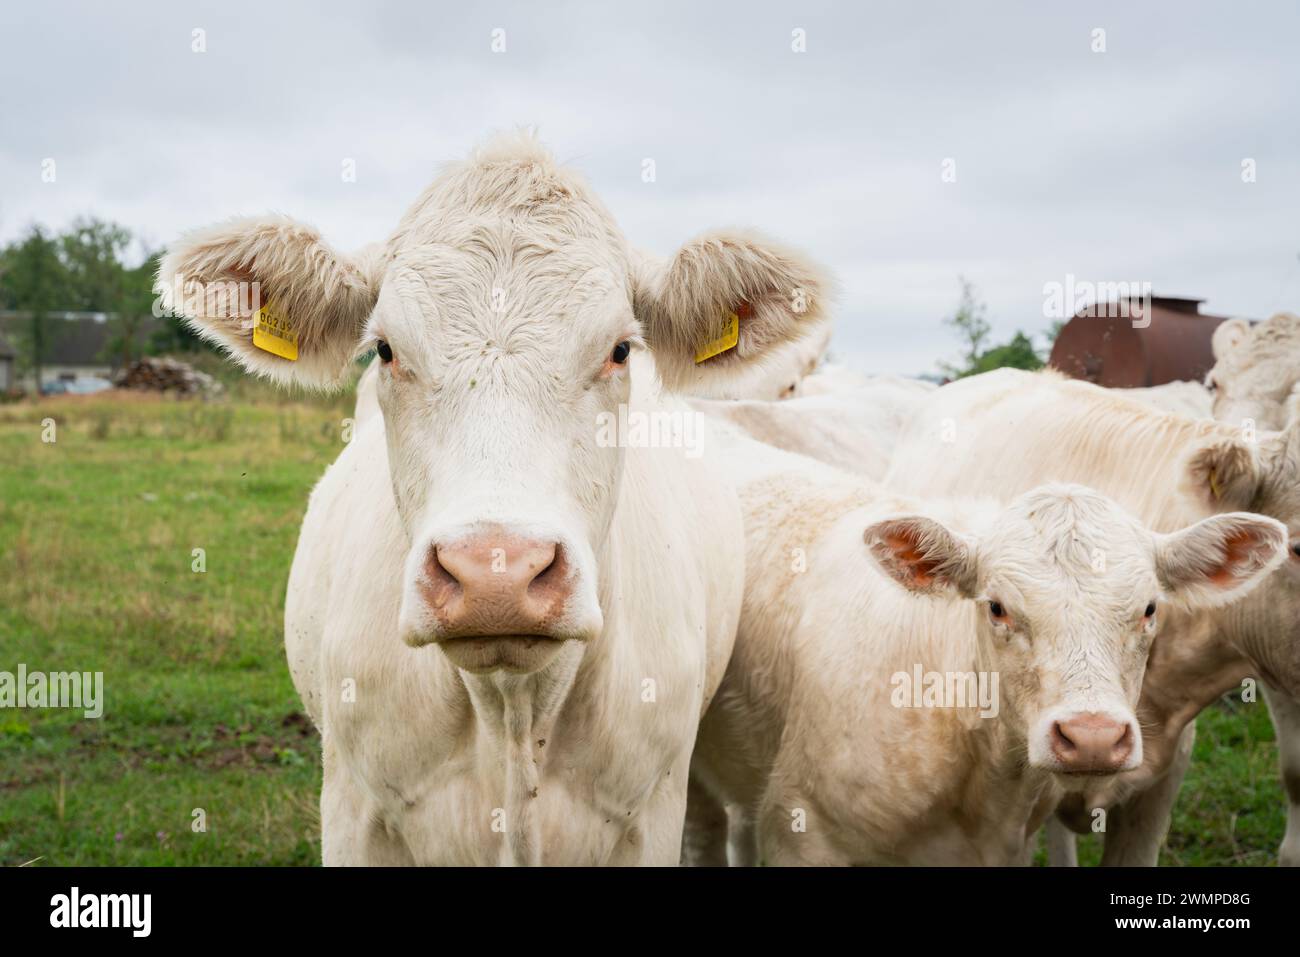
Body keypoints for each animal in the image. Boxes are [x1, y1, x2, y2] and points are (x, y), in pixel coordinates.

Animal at [157, 133, 830, 865]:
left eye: (621, 349)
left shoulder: (652, 813)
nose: (495, 574)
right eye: (384, 350)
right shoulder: (352, 809)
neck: (513, 711)